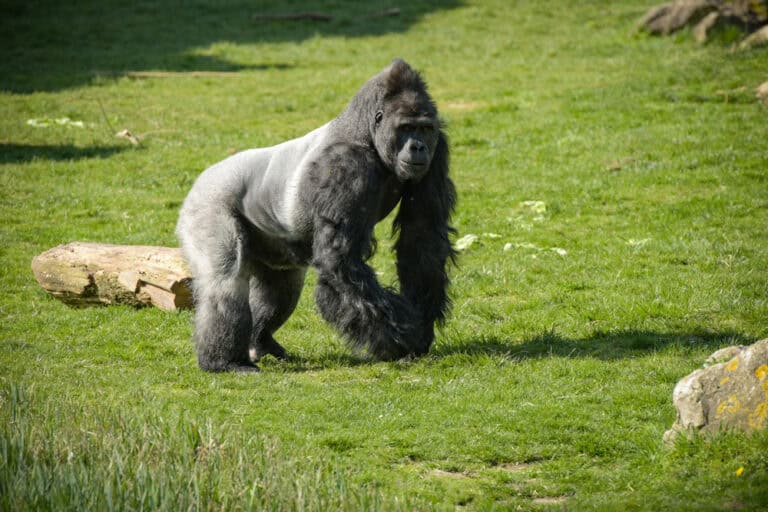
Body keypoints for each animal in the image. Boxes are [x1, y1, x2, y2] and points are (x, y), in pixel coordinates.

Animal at [176, 59, 456, 372]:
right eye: (406, 128)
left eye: (425, 128)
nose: (418, 146)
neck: (364, 132)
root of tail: (201, 178)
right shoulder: (346, 166)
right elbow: (340, 261)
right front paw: (403, 337)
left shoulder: (438, 149)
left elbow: (422, 239)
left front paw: (422, 319)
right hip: (207, 202)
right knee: (225, 281)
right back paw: (223, 361)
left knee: (282, 287)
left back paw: (261, 340)